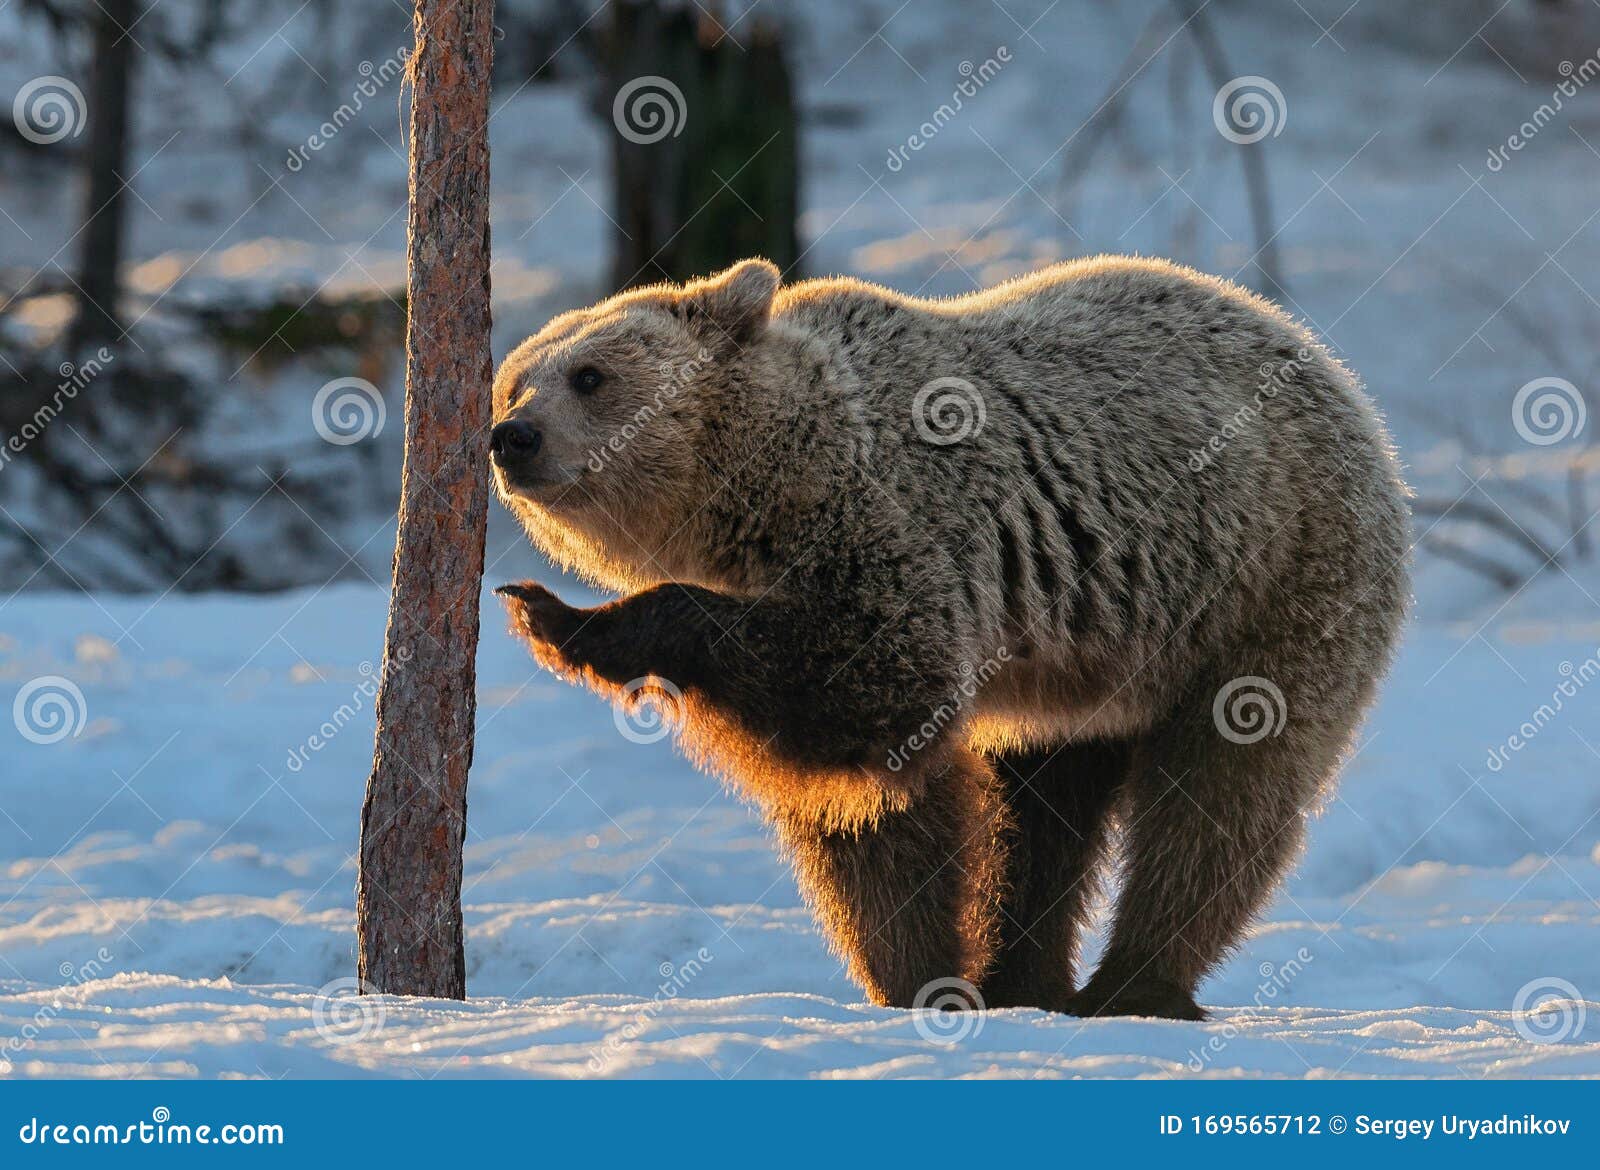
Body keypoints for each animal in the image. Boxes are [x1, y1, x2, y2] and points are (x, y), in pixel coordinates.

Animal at [489, 255, 1409, 1020]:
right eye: (512, 382)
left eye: (590, 374)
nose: (512, 438)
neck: (762, 496)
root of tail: (1330, 369)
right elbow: (871, 823)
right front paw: (917, 979)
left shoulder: (892, 541)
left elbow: (870, 697)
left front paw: (566, 617)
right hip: (1081, 673)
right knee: (1045, 807)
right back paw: (1026, 978)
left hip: (1271, 581)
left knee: (1224, 791)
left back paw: (1135, 986)